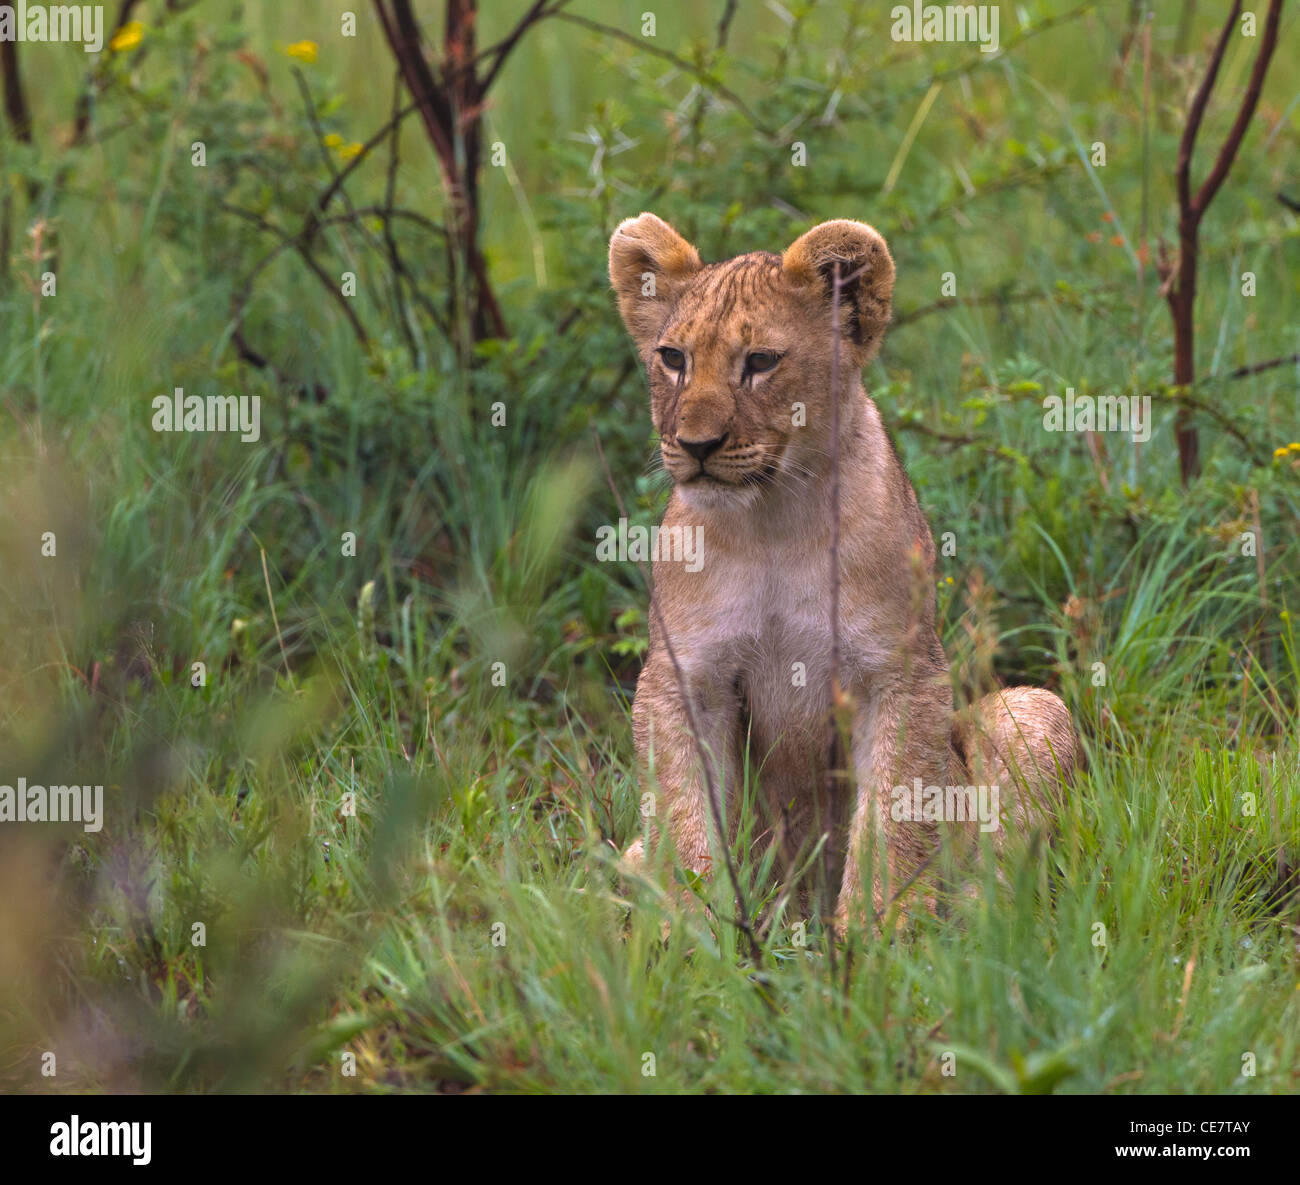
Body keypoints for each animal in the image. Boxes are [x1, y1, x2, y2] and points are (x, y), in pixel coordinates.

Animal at [609, 212, 1076, 930]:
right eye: (673, 358)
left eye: (761, 362)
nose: (695, 445)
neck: (774, 519)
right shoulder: (684, 674)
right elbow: (686, 815)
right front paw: (695, 931)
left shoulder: (901, 670)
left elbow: (892, 813)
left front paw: (875, 934)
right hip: (631, 849)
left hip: (1034, 709)